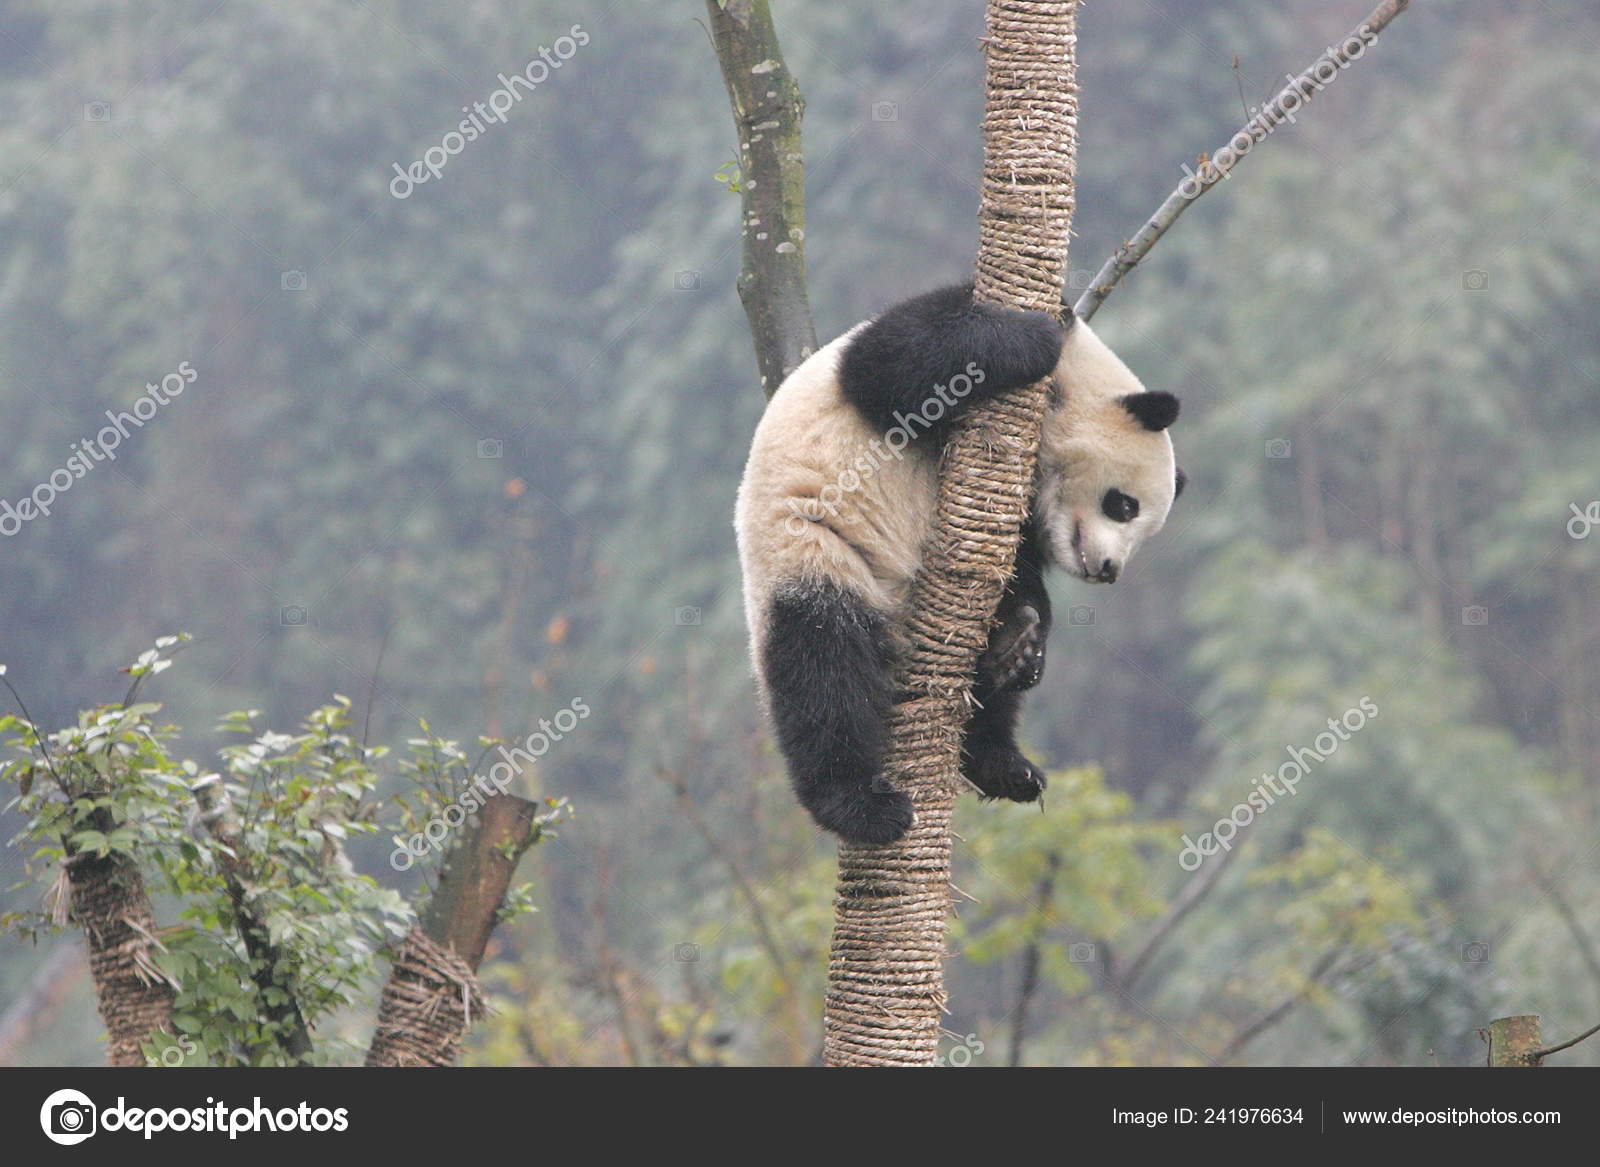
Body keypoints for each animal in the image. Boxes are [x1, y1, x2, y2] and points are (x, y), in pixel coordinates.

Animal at [735, 284, 1183, 845]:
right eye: (1123, 505)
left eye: (1141, 532)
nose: (1107, 570)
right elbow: (894, 367)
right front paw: (1034, 336)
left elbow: (1016, 580)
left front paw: (1027, 640)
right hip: (814, 553)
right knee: (823, 664)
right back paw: (861, 806)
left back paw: (1007, 741)